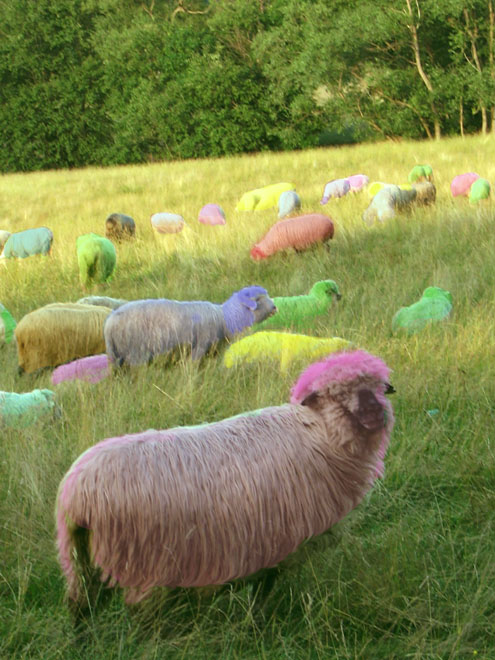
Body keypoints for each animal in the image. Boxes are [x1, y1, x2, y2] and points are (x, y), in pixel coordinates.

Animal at [56, 349, 395, 606]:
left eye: (379, 387)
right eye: (337, 395)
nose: (376, 413)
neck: (317, 431)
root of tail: (75, 495)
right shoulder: (276, 538)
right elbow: (264, 590)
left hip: (79, 558)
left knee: (81, 606)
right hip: (140, 561)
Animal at [104, 286, 276, 367]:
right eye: (259, 299)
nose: (275, 307)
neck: (224, 317)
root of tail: (109, 324)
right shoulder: (200, 346)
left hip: (116, 357)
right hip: (136, 353)